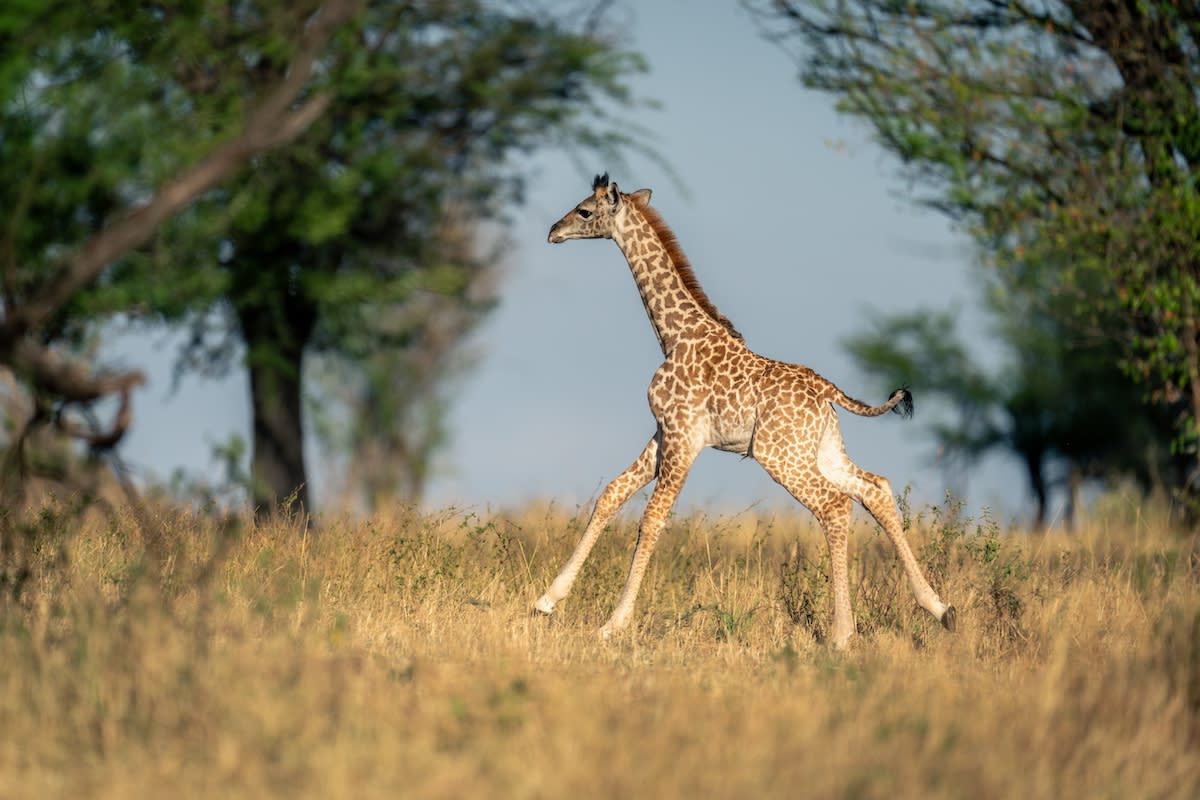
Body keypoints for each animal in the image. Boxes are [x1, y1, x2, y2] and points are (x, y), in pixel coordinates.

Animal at [534, 173, 956, 647]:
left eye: (585, 210)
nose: (553, 231)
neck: (675, 336)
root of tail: (828, 392)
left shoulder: (683, 436)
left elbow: (652, 519)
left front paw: (613, 623)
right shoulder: (663, 432)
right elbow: (611, 494)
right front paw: (546, 601)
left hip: (780, 456)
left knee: (835, 505)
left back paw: (842, 634)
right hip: (820, 450)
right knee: (876, 489)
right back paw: (941, 609)